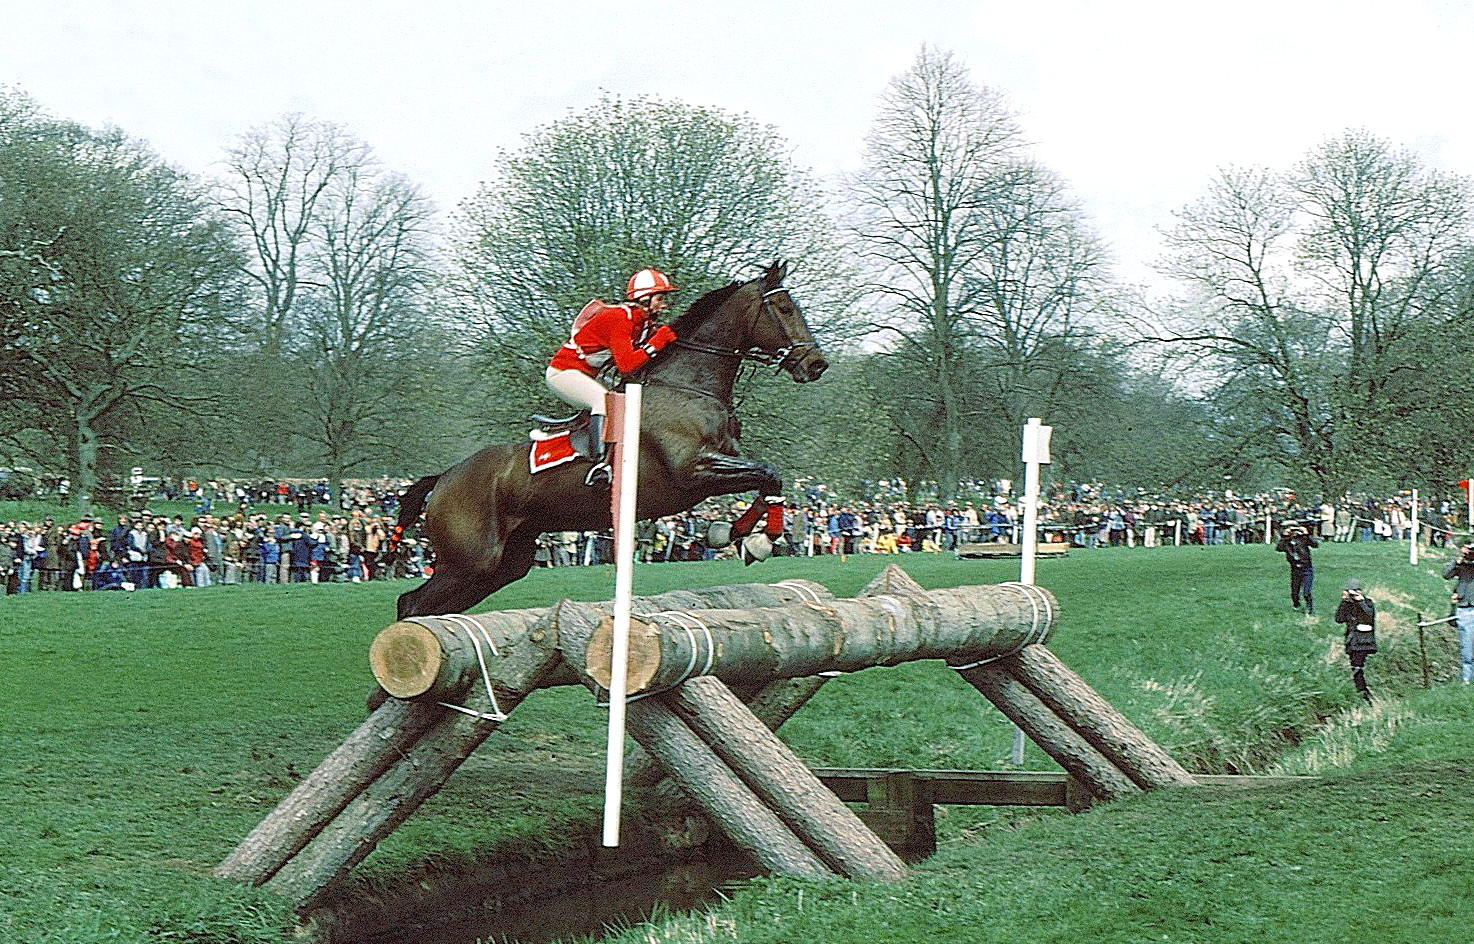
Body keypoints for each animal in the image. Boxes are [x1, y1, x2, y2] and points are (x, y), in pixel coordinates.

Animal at [391, 260, 828, 619]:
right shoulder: (693, 472)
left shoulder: (721, 464)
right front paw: (755, 539)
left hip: (502, 565)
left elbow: (769, 478)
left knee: (426, 607)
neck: (688, 387)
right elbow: (768, 472)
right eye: (785, 308)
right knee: (412, 604)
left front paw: (742, 536)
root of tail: (445, 478)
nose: (816, 365)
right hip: (471, 561)